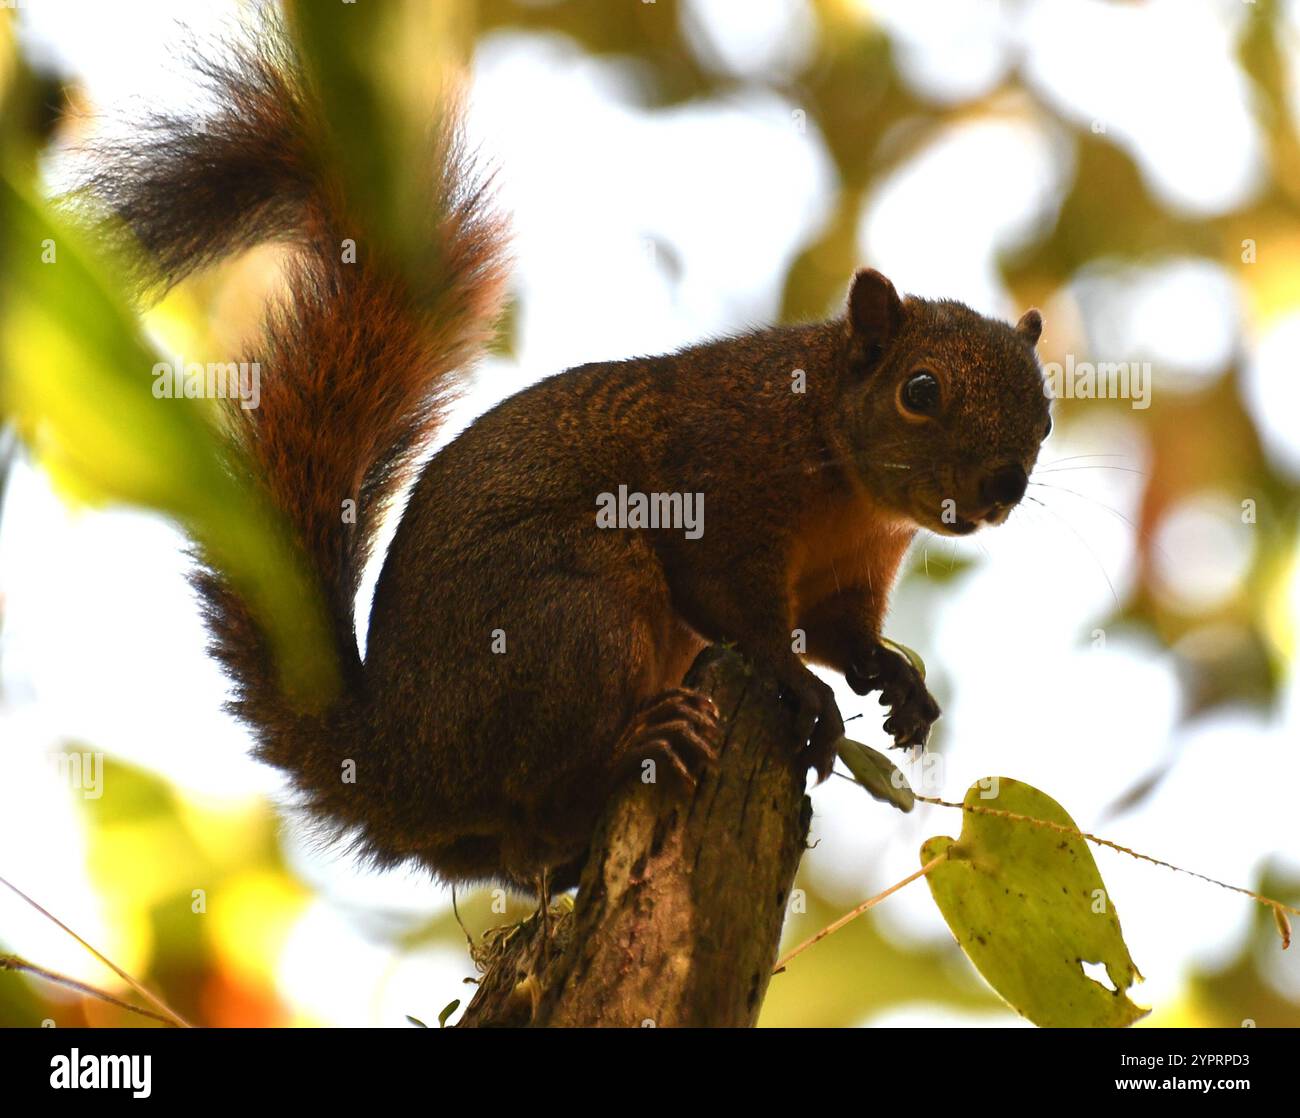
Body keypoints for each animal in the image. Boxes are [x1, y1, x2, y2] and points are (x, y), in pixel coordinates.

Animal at [84, 26, 1051, 893]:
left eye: (1045, 413)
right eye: (920, 390)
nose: (1004, 486)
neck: (842, 473)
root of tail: (394, 767)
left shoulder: (852, 572)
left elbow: (840, 630)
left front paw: (895, 681)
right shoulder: (722, 481)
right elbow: (735, 604)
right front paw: (803, 689)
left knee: (525, 851)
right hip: (571, 614)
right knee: (539, 791)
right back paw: (639, 744)